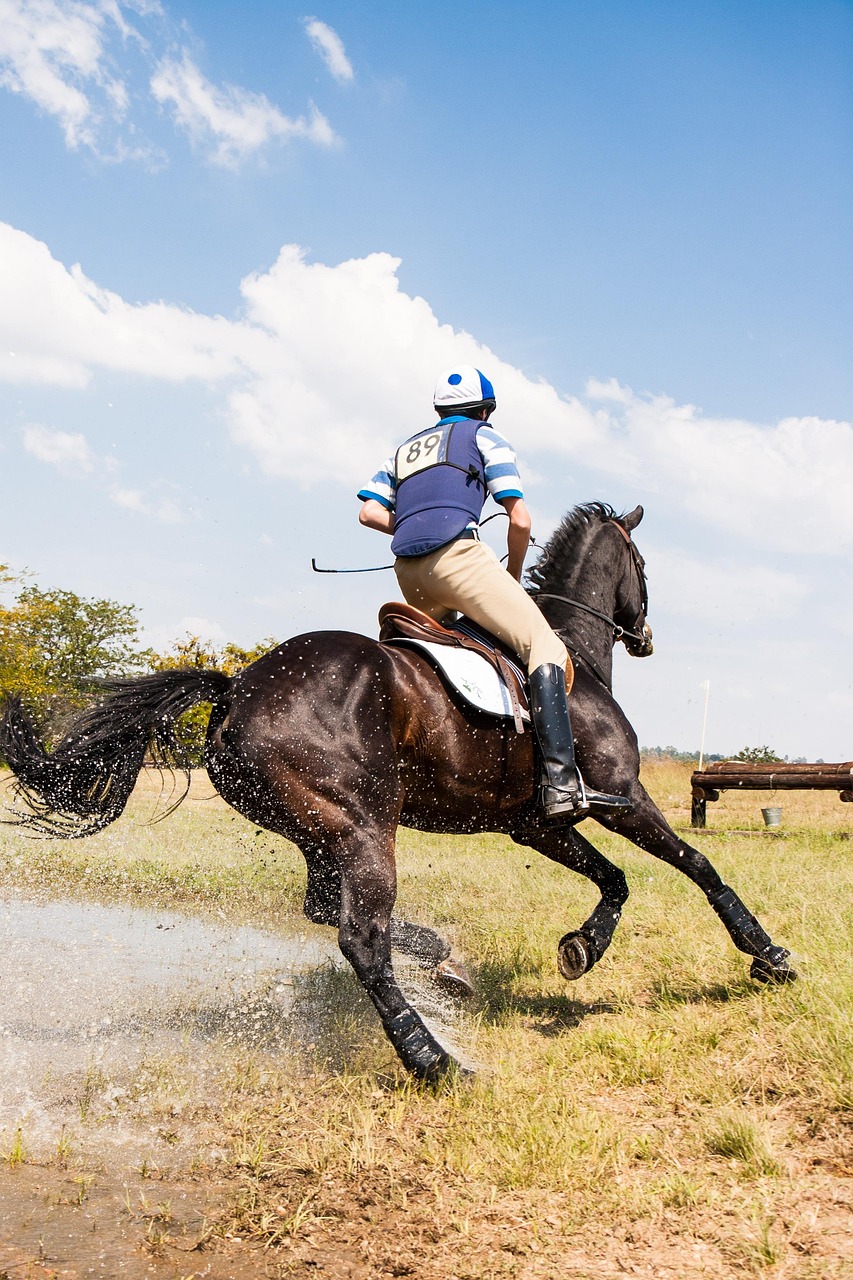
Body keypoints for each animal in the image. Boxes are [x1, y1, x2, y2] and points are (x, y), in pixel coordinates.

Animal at [0, 503, 795, 1080]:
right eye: (642, 566)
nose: (646, 633)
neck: (569, 651)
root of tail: (237, 689)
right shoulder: (623, 796)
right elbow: (697, 865)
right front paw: (767, 955)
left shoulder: (536, 823)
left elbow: (615, 879)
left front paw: (581, 948)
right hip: (362, 827)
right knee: (360, 938)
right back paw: (433, 1058)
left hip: (320, 828)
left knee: (328, 909)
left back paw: (443, 965)